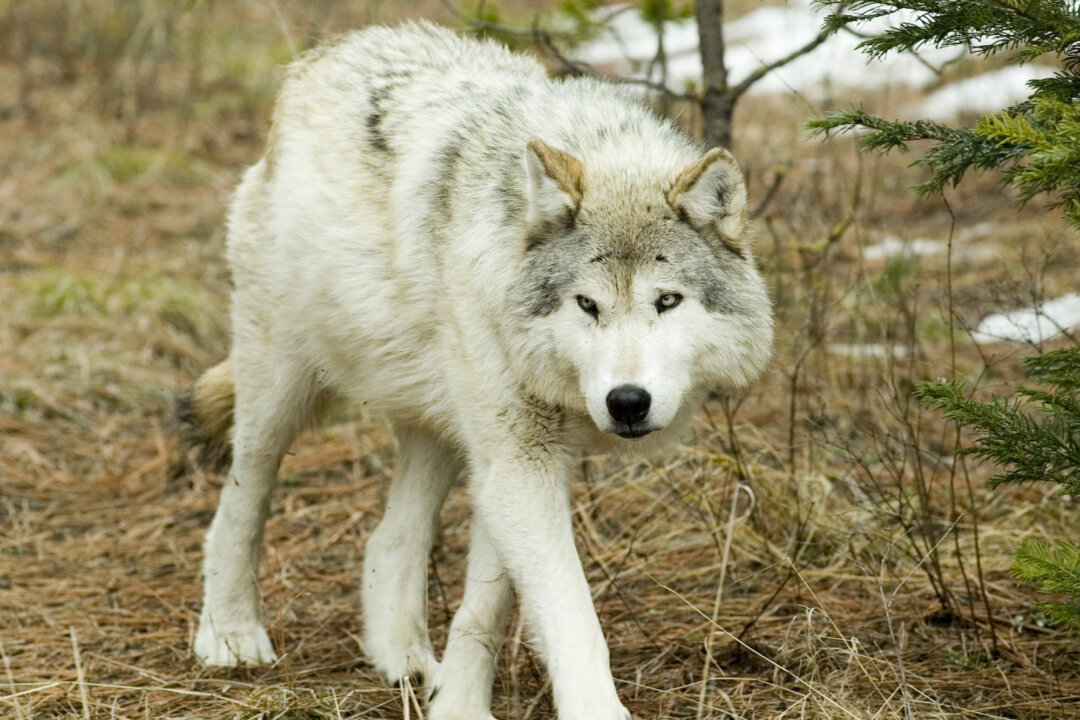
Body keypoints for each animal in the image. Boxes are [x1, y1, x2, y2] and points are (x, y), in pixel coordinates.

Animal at [179, 22, 773, 720]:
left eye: (668, 301)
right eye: (587, 305)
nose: (627, 402)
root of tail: (326, 52)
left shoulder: (517, 462)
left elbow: (487, 605)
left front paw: (455, 701)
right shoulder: (518, 460)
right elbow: (572, 618)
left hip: (443, 426)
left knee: (389, 540)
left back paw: (404, 661)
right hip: (281, 392)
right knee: (237, 506)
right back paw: (231, 634)